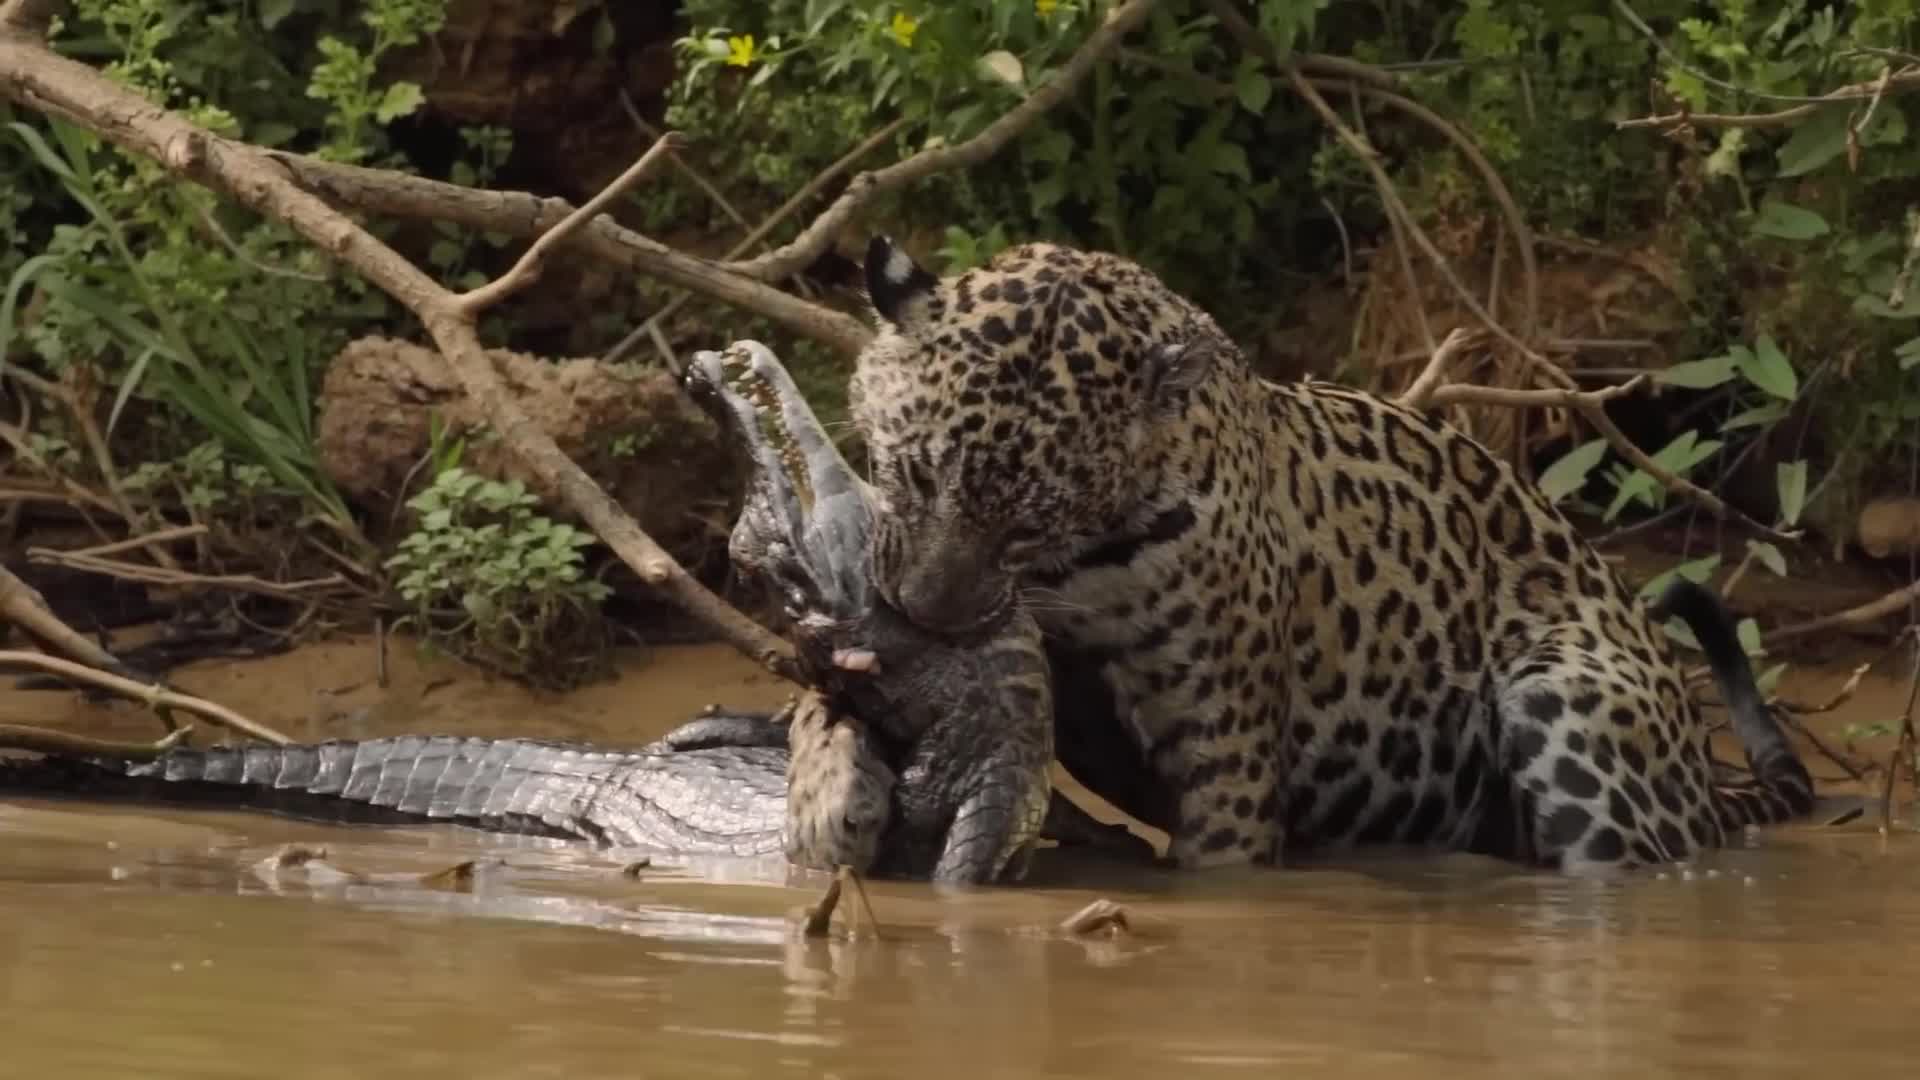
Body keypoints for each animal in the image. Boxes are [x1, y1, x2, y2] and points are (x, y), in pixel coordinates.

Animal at [846, 235, 1816, 876]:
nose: (923, 613)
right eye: (915, 473)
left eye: (1030, 523)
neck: (1079, 564)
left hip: (1576, 707)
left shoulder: (1225, 754)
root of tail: (1700, 769)